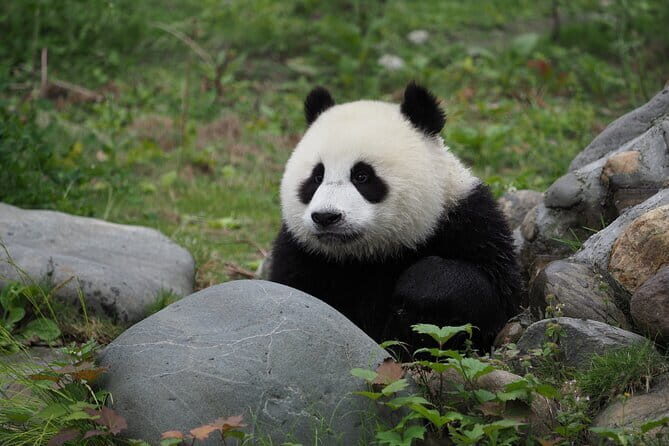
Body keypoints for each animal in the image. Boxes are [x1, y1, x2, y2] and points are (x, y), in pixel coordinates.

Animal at [270, 82, 521, 351]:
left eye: (362, 176)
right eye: (317, 177)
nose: (326, 217)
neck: (366, 256)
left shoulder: (468, 222)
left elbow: (492, 295)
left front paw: (419, 283)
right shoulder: (301, 253)